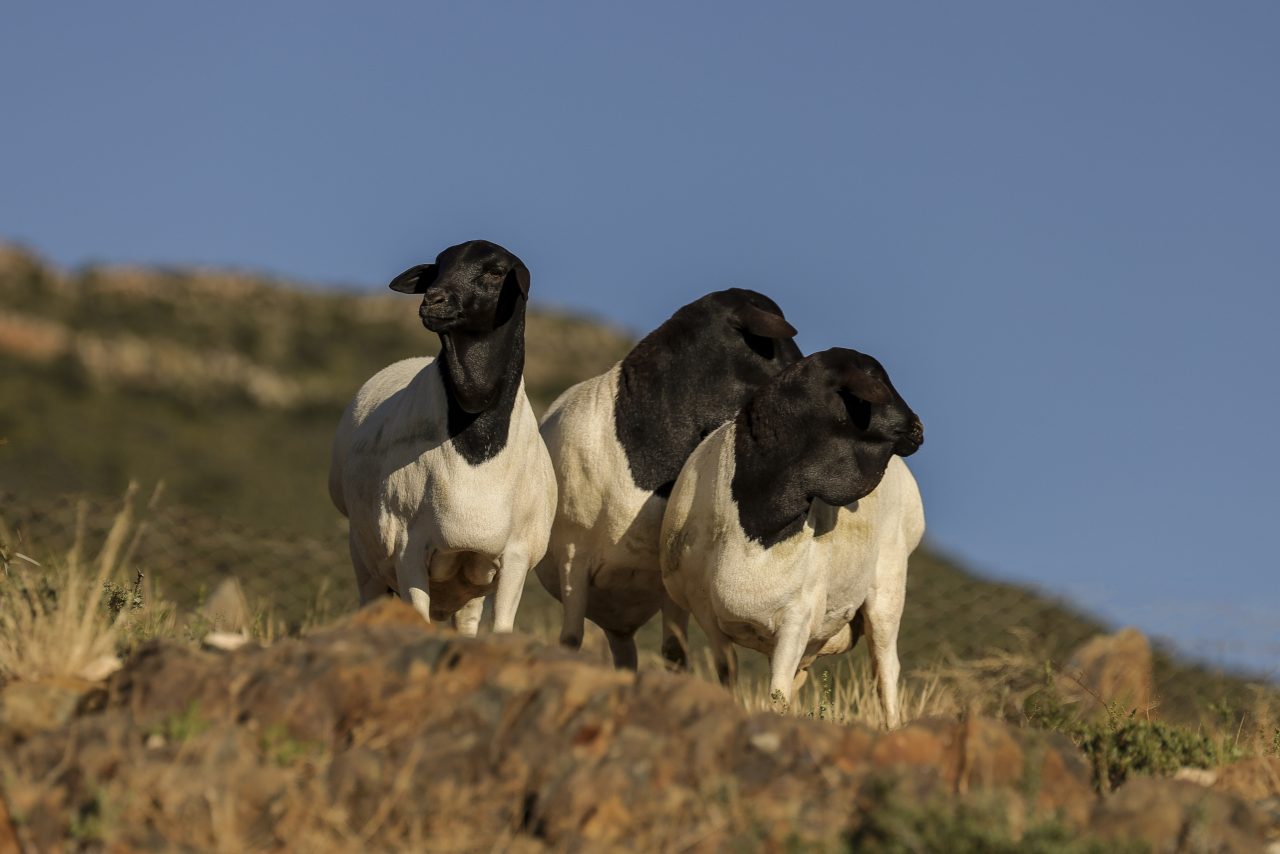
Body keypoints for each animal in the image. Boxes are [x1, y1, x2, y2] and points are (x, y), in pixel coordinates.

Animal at [328, 239, 556, 634]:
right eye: (438, 267)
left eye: (496, 271)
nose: (432, 300)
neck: (476, 450)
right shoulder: (407, 549)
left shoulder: (515, 556)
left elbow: (502, 627)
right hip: (365, 558)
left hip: (470, 581)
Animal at [659, 347, 924, 726]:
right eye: (875, 378)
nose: (919, 427)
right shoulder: (706, 611)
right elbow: (729, 676)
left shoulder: (796, 619)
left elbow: (777, 695)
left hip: (887, 590)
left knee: (885, 673)